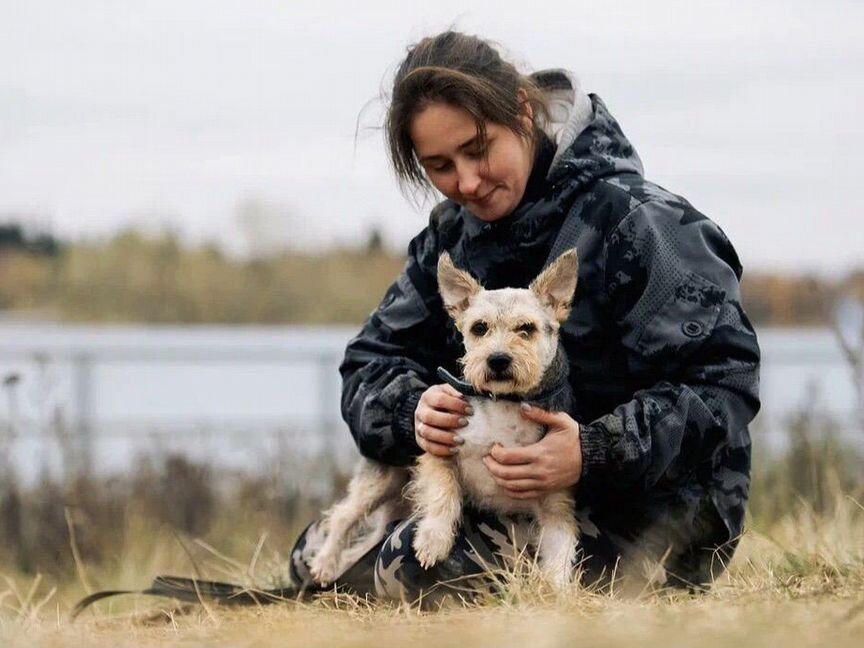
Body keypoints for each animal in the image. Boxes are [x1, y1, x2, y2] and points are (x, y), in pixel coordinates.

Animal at [310, 251, 580, 588]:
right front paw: (433, 541)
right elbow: (445, 492)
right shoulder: (439, 448)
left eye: (526, 328)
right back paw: (324, 562)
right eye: (479, 328)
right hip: (379, 482)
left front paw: (556, 589)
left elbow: (560, 549)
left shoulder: (555, 498)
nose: (498, 360)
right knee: (343, 515)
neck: (504, 402)